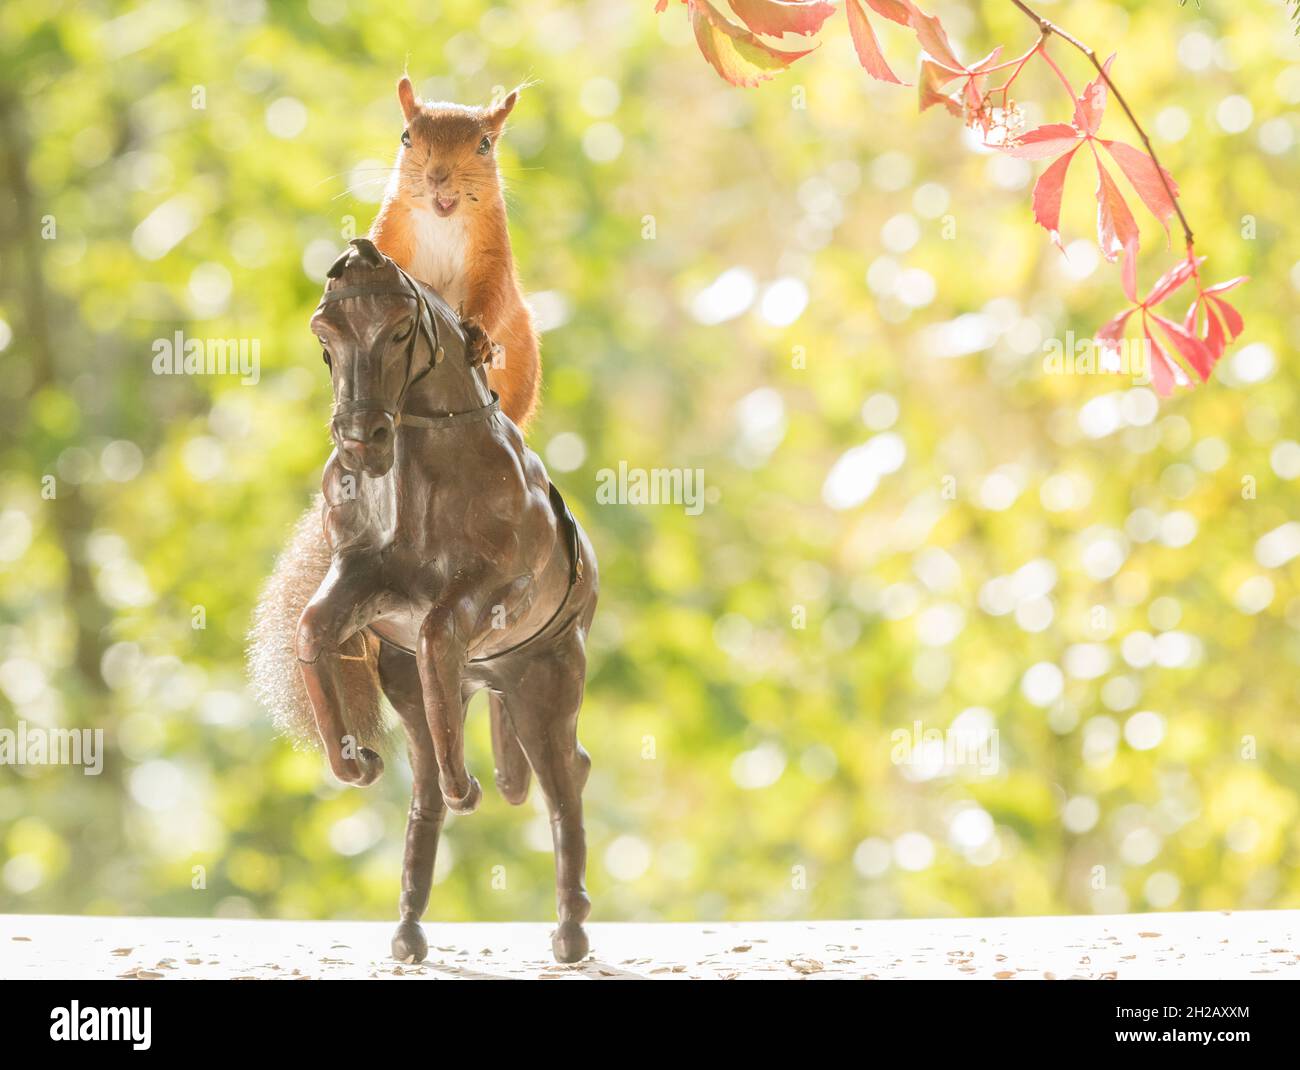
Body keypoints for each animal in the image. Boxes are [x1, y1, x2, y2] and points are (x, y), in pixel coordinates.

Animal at [289, 237, 597, 964]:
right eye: (324, 336)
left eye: (401, 329)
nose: (361, 442)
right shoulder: (368, 581)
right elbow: (313, 629)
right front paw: (355, 762)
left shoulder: (492, 591)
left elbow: (436, 635)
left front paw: (471, 788)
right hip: (418, 692)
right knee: (426, 779)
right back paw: (408, 929)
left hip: (547, 684)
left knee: (564, 781)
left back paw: (570, 931)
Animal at [368, 77, 540, 430]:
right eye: (406, 138)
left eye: (485, 145)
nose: (437, 175)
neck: (441, 220)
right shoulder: (391, 230)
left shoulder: (492, 249)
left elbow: (494, 291)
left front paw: (480, 334)